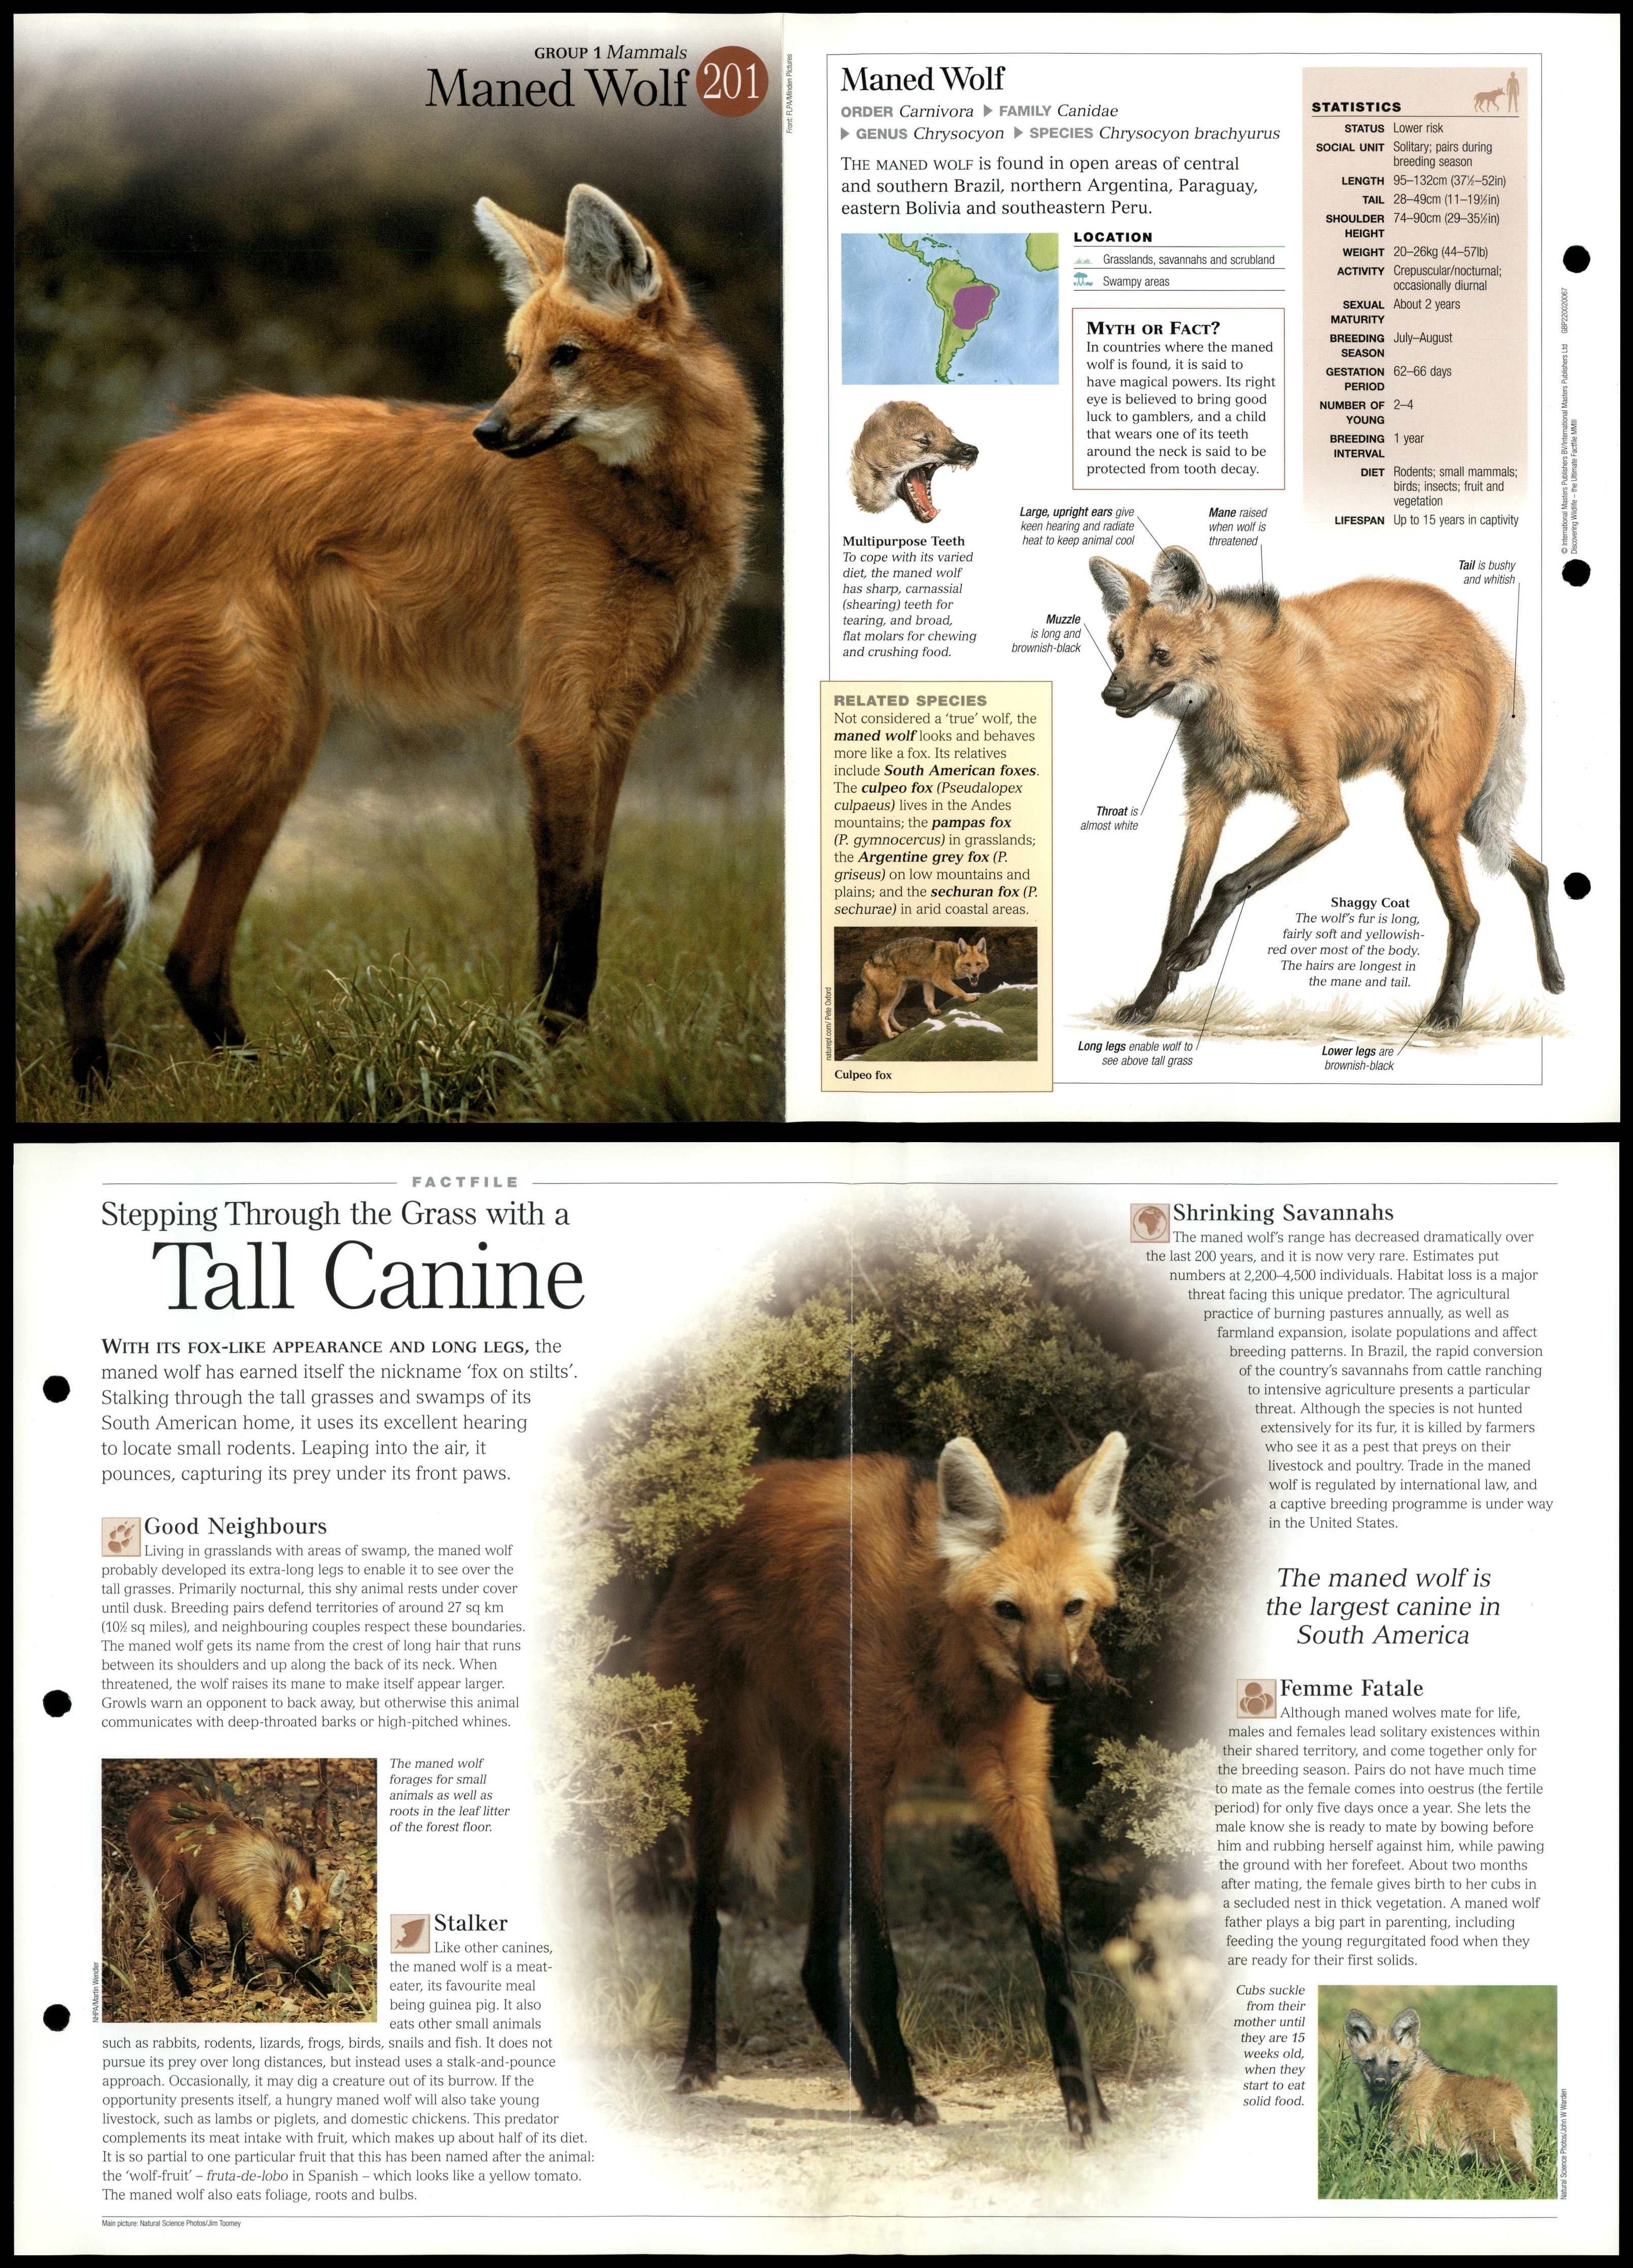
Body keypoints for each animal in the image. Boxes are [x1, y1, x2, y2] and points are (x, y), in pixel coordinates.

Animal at [38, 184, 760, 1089]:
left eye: (565, 357)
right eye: (517, 359)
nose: (488, 432)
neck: (649, 503)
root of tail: (129, 471)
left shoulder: (613, 724)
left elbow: (586, 906)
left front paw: (562, 1061)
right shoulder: (560, 727)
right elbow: (566, 928)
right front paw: (552, 1072)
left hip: (277, 752)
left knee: (189, 957)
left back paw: (263, 1077)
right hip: (239, 741)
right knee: (83, 937)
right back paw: (97, 1085)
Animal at [648, 1433, 1129, 2140]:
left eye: (1071, 1608)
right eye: (1007, 1609)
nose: (1052, 1684)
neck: (952, 1656)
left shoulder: (1012, 1778)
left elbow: (1055, 1960)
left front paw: (1084, 2104)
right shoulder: (868, 1777)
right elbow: (879, 1961)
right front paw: (906, 2096)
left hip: (820, 1781)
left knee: (815, 1962)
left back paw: (868, 2091)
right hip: (725, 1764)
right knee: (704, 1921)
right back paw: (700, 2064)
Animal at [852, 933, 989, 1040]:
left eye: (978, 964)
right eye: (968, 965)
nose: (975, 975)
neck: (952, 957)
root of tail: (868, 962)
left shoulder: (928, 982)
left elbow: (929, 1000)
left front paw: (934, 1012)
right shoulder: (940, 980)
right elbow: (959, 991)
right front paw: (970, 998)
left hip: (899, 993)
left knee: (890, 1014)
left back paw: (900, 1029)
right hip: (892, 994)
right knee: (882, 1016)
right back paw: (891, 1035)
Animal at [1091, 547, 1564, 1030]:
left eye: (1161, 655)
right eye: (1119, 650)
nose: (1111, 695)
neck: (1237, 688)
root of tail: (1485, 637)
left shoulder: (1324, 812)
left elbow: (1227, 883)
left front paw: (1193, 952)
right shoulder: (1209, 801)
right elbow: (1175, 918)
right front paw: (1148, 1000)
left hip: (1429, 813)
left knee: (1468, 916)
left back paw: (1447, 1011)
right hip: (1462, 815)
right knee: (1536, 871)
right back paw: (1553, 977)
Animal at [1344, 2007, 1537, 2185]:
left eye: (1394, 2063)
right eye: (1370, 2062)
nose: (1380, 2082)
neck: (1408, 2081)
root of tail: (1511, 2090)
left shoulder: (1412, 2136)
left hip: (1495, 2146)